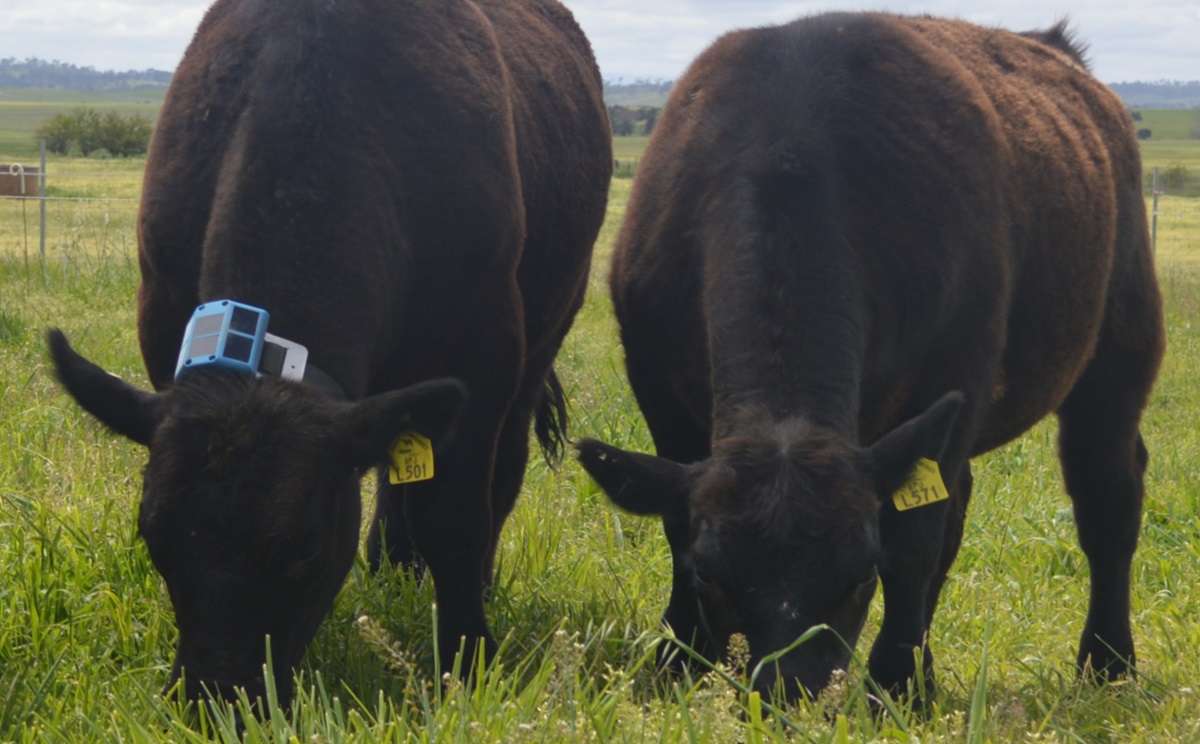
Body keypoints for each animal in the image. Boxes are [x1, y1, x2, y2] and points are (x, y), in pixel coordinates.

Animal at [48, 0, 611, 708]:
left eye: (309, 547)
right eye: (154, 537)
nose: (217, 700)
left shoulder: (483, 348)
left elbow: (453, 515)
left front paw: (467, 658)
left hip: (543, 334)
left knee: (498, 473)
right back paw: (393, 570)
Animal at [576, 12, 1163, 706]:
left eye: (860, 574)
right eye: (713, 577)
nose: (790, 689)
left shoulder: (954, 376)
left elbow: (912, 542)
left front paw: (897, 683)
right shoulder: (660, 390)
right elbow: (674, 523)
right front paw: (680, 659)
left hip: (1120, 348)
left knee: (1107, 497)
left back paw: (1107, 662)